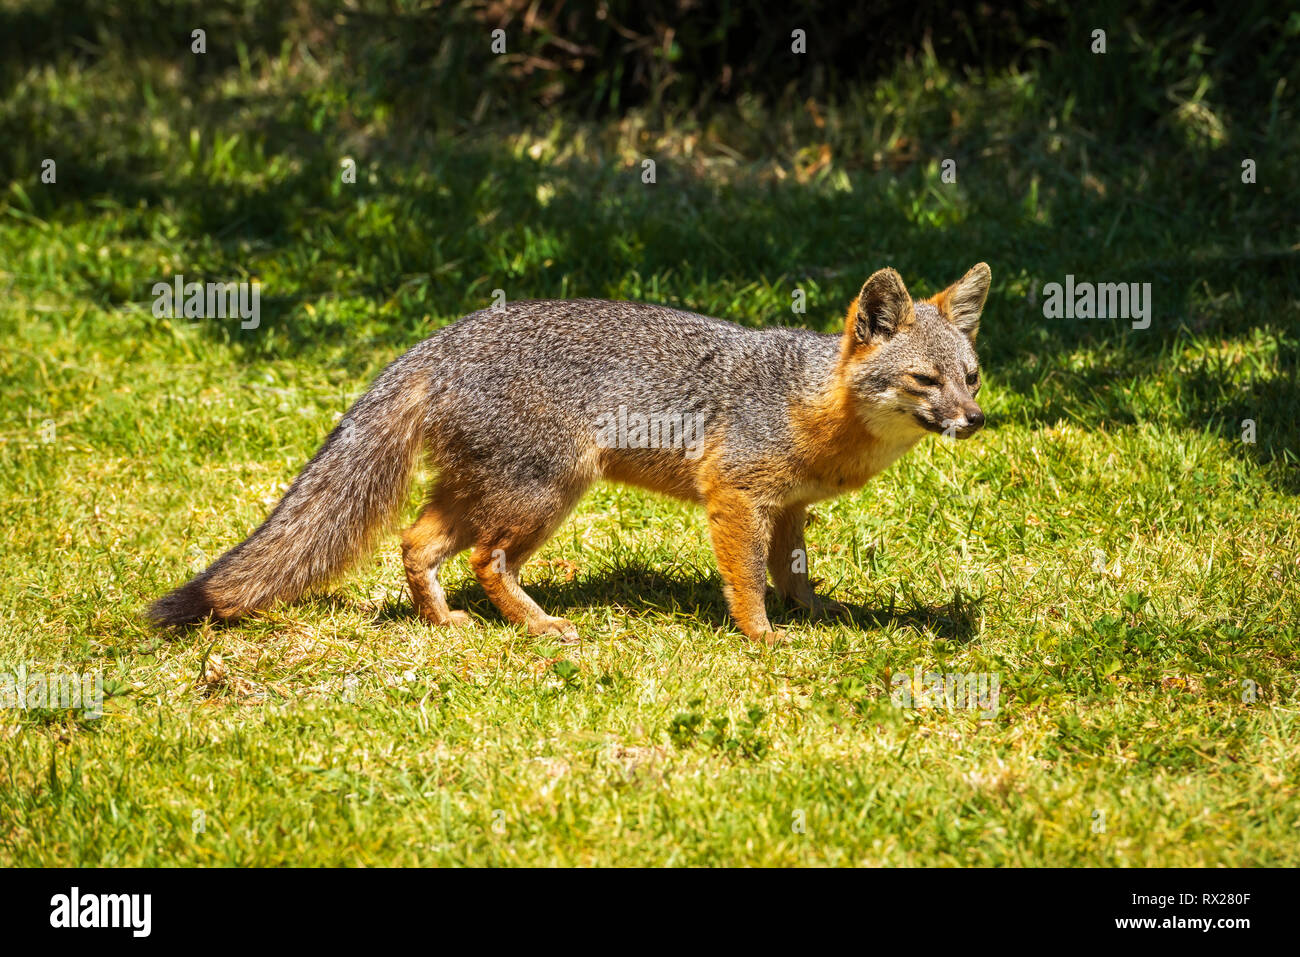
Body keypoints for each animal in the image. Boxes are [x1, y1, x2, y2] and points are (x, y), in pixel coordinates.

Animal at [150, 263, 991, 644]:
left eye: (972, 375)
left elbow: (795, 574)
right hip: (546, 492)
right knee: (487, 559)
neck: (813, 402)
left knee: (415, 541)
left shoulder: (787, 508)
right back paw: (540, 626)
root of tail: (441, 339)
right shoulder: (736, 498)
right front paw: (761, 638)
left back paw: (445, 622)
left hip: (485, 490)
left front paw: (820, 615)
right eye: (926, 380)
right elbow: (749, 580)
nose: (977, 419)